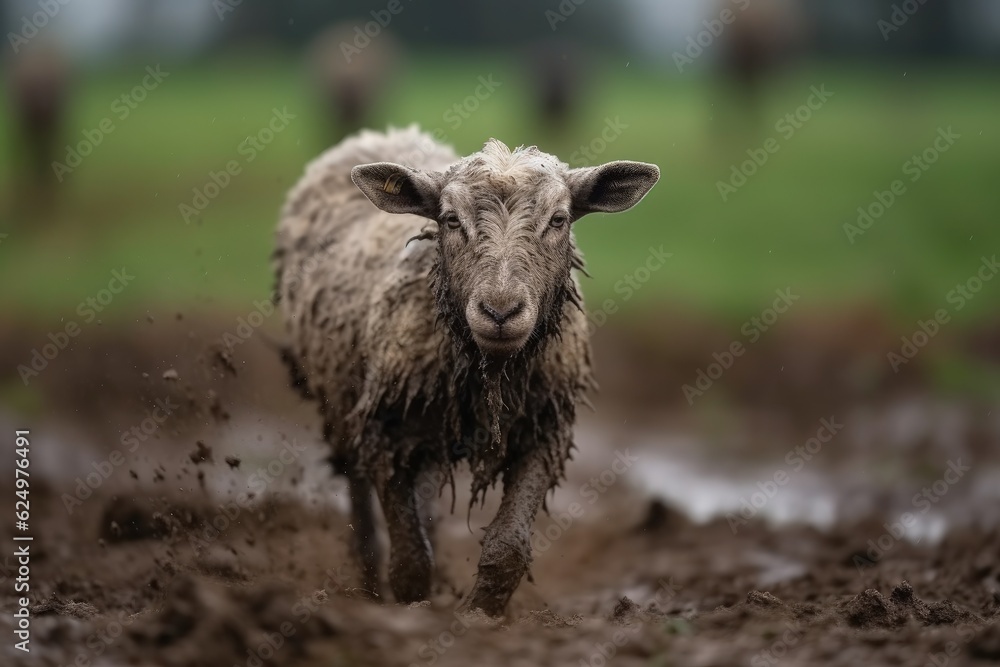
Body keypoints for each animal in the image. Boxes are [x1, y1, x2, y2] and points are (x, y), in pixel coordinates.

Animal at [273, 126, 659, 615]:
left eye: (558, 220)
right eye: (451, 220)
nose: (500, 310)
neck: (488, 373)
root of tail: (379, 133)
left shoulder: (545, 430)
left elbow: (507, 549)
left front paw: (479, 615)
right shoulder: (385, 426)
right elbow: (410, 558)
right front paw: (412, 608)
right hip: (340, 402)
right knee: (357, 489)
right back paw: (369, 586)